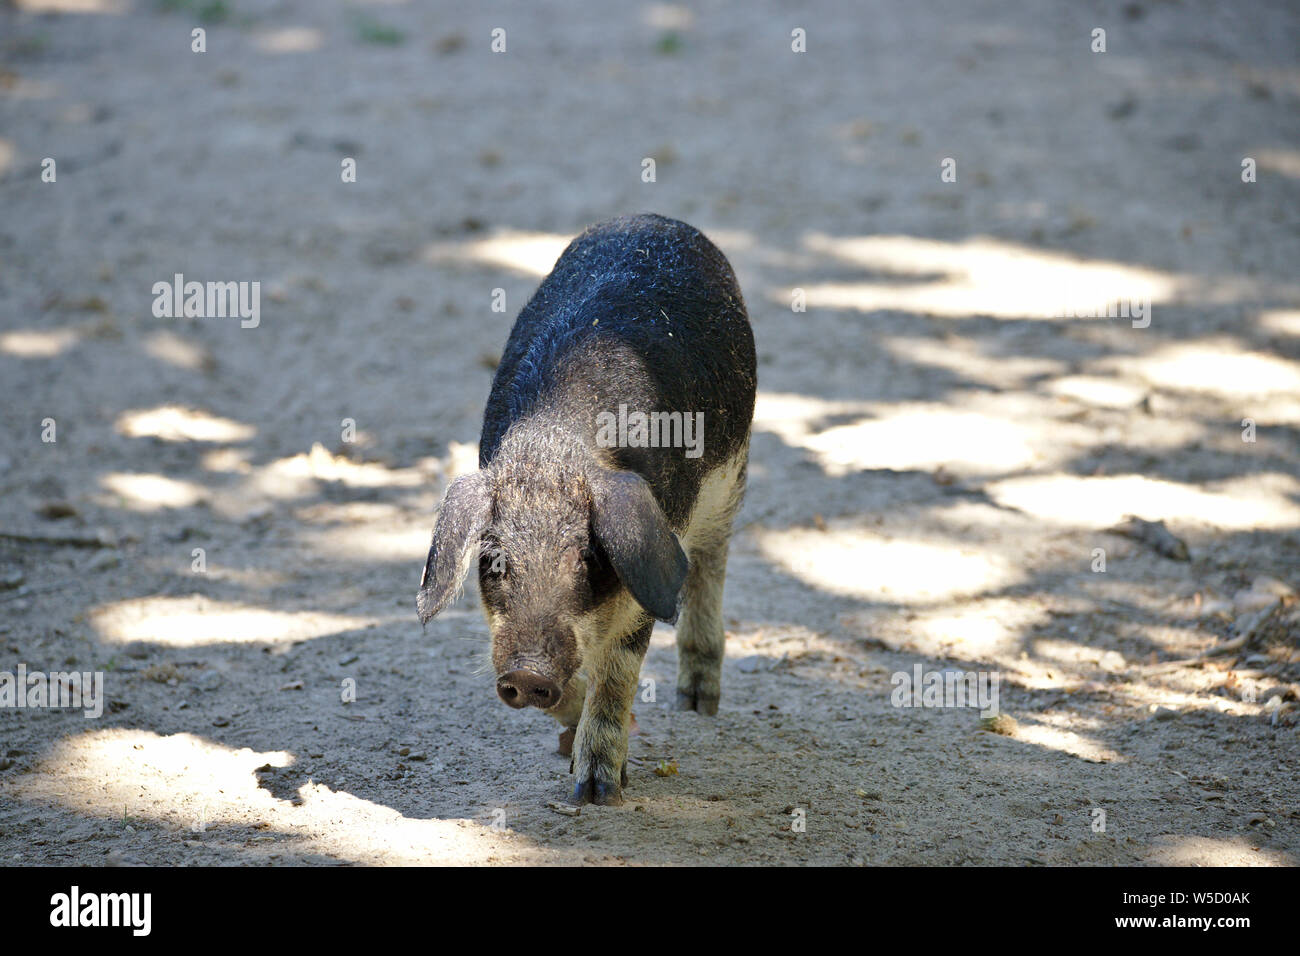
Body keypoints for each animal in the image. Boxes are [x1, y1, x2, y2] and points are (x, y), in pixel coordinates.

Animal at [417, 213, 756, 805]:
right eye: (494, 561)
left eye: (588, 558)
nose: (528, 674)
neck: (554, 446)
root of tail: (653, 218)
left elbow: (617, 668)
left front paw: (598, 792)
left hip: (730, 480)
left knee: (710, 563)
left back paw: (697, 706)